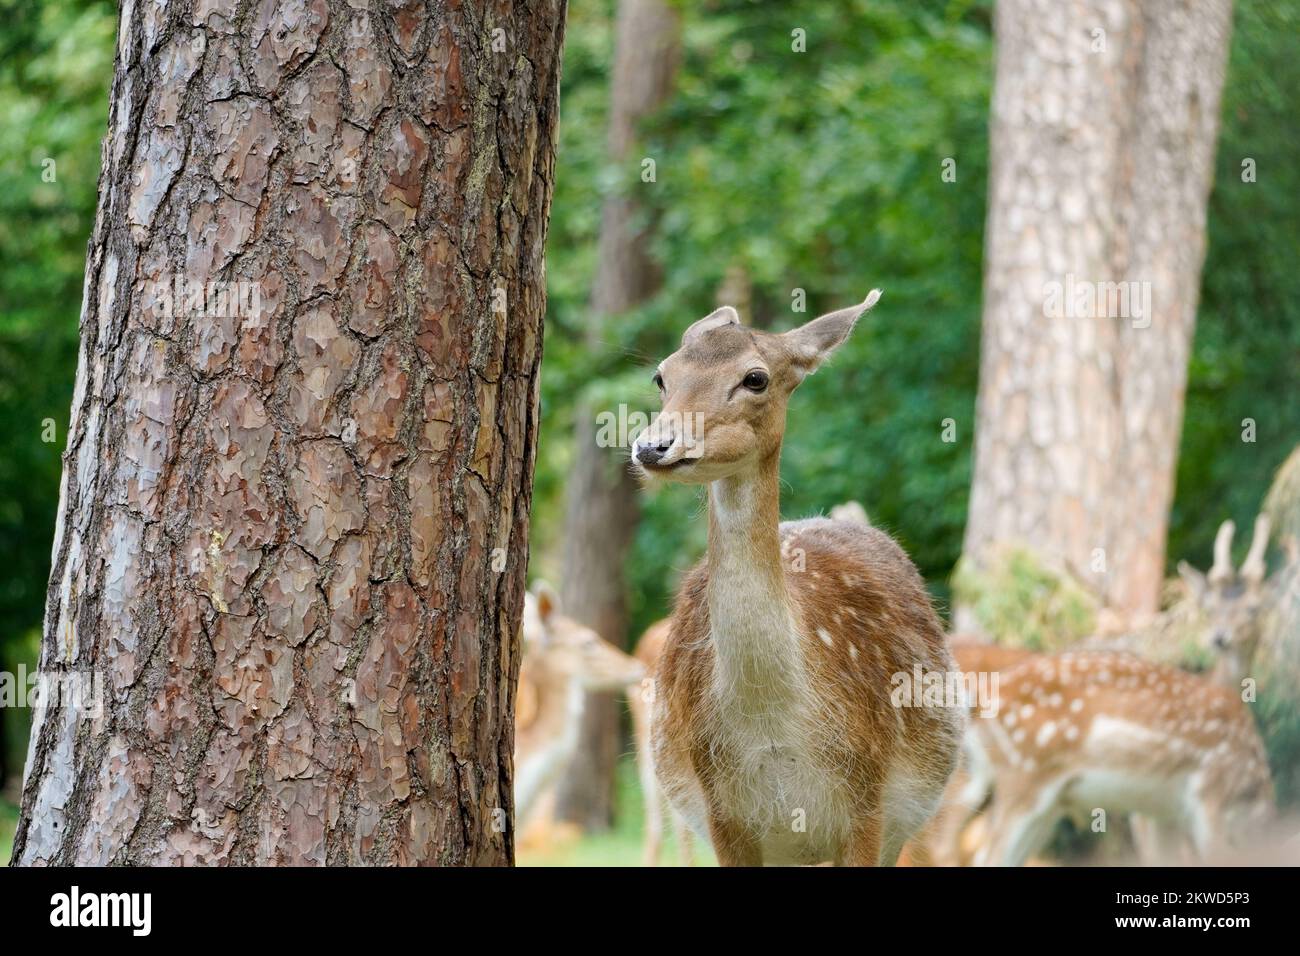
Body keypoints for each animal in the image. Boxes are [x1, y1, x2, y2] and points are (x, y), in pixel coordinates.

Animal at [630, 293, 965, 866]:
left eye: (755, 378)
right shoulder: (723, 813)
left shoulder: (867, 801)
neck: (775, 734)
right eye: (662, 375)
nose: (653, 446)